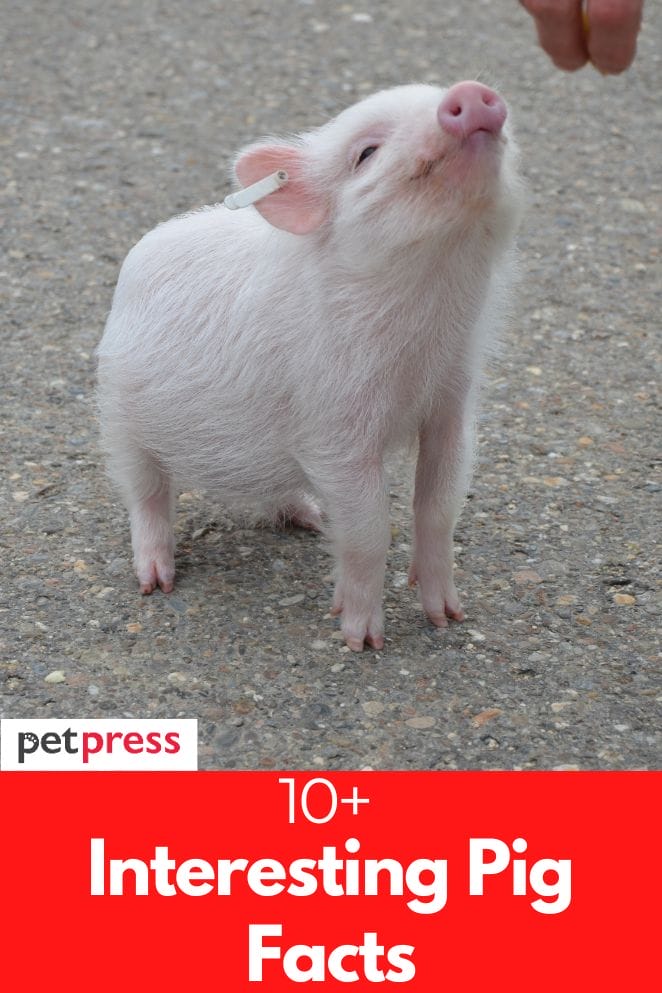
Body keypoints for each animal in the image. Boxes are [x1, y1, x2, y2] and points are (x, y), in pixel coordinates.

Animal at [97, 81, 523, 652]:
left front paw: (448, 619)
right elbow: (369, 528)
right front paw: (362, 641)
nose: (470, 93)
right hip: (117, 412)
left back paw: (312, 518)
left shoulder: (451, 402)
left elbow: (439, 506)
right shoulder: (334, 427)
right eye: (366, 153)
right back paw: (156, 582)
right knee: (144, 494)